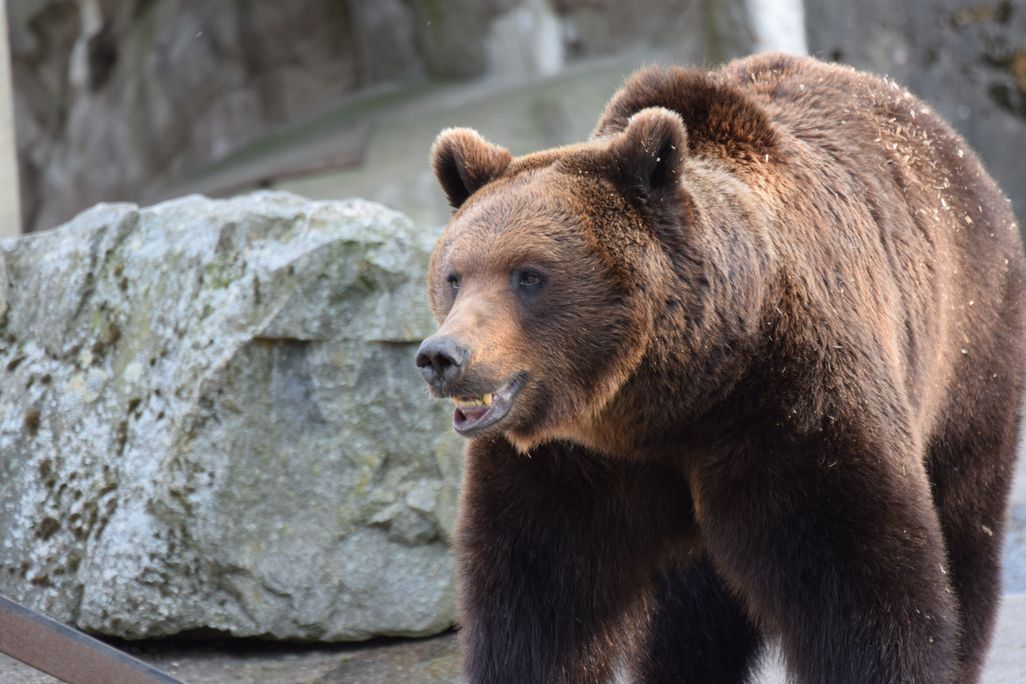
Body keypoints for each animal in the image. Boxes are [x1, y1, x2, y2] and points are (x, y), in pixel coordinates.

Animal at [416, 53, 1026, 684]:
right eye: (454, 275)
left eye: (529, 275)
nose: (442, 356)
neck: (669, 397)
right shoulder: (569, 462)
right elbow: (537, 597)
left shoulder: (791, 401)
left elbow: (860, 579)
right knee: (691, 611)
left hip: (968, 347)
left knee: (964, 520)